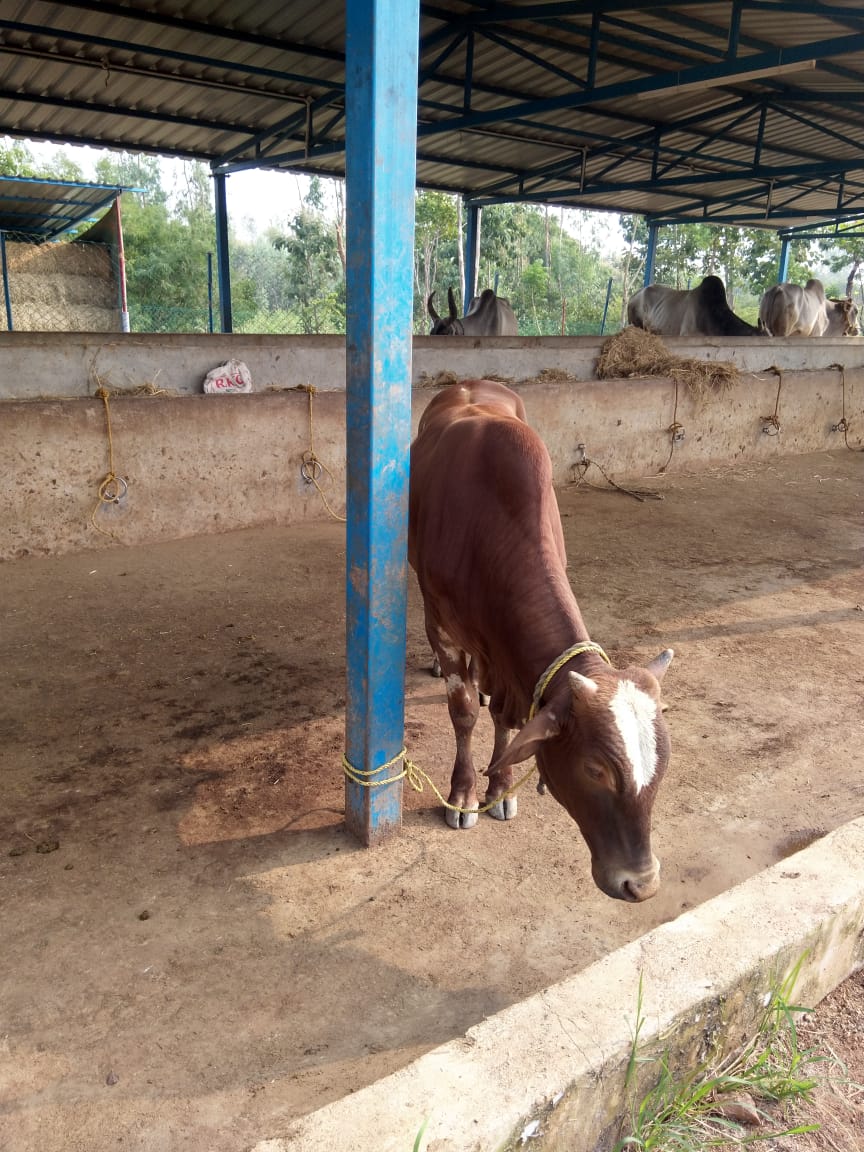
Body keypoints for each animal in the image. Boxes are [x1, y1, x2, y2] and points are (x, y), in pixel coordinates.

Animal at [408, 379, 674, 902]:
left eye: (664, 766)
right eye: (595, 769)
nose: (643, 883)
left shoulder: (510, 662)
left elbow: (503, 718)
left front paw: (500, 787)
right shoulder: (444, 625)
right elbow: (463, 712)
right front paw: (464, 794)